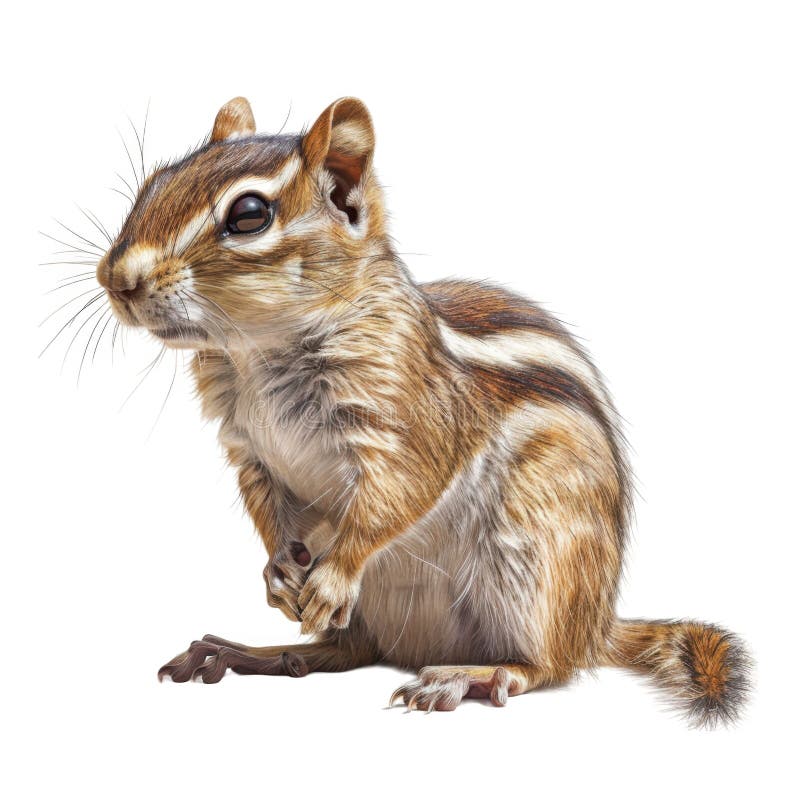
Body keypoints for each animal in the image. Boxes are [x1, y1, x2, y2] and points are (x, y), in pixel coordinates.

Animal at [93, 96, 750, 725]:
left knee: (549, 665)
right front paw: (279, 575)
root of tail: (597, 626)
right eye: (154, 181)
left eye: (250, 214)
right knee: (348, 652)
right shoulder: (249, 449)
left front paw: (332, 577)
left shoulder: (409, 420)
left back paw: (468, 675)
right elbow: (266, 507)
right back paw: (250, 652)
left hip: (536, 564)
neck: (258, 352)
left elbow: (399, 492)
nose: (116, 277)